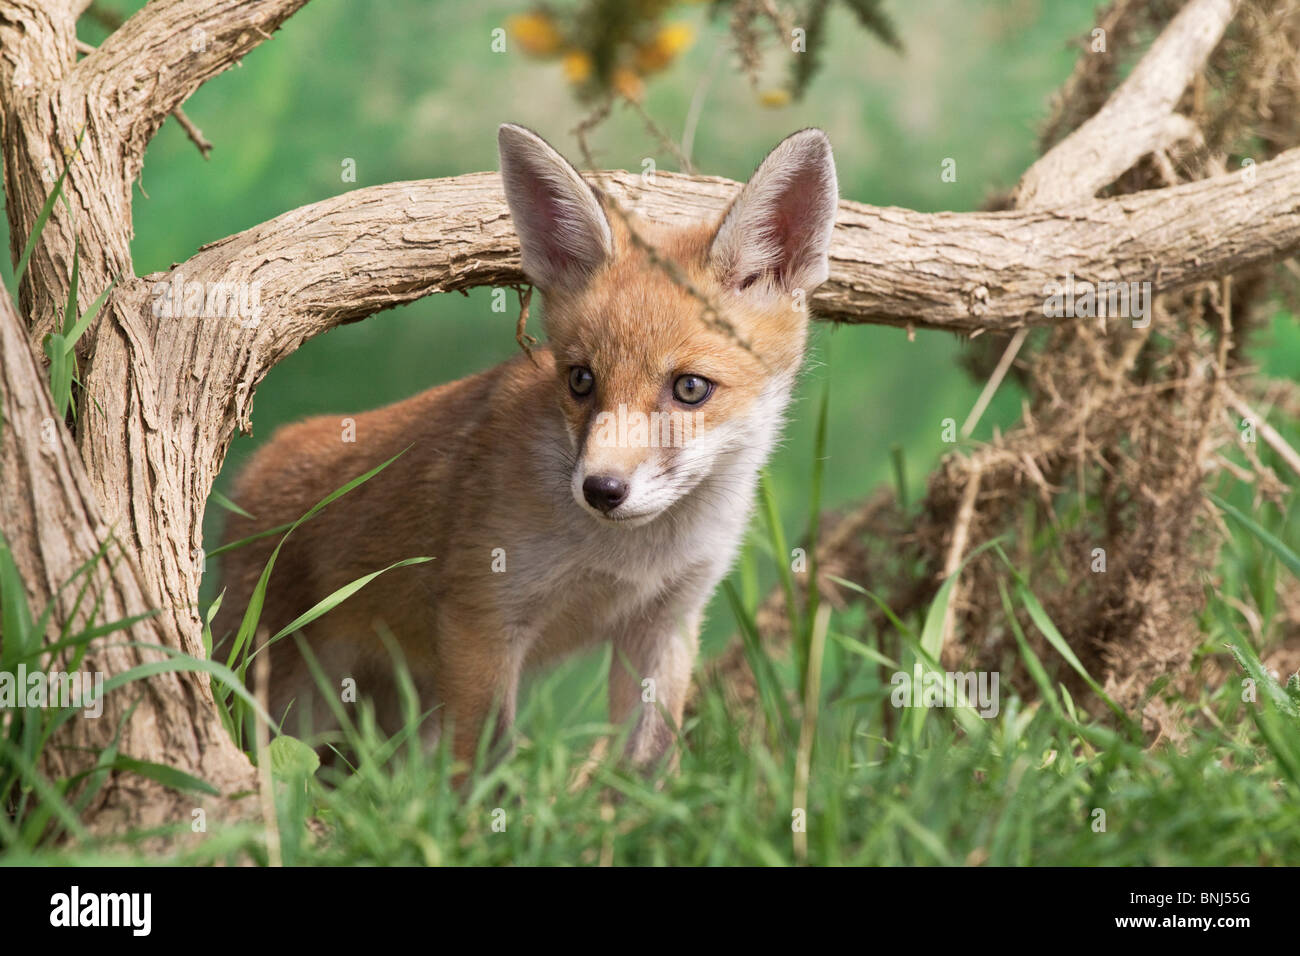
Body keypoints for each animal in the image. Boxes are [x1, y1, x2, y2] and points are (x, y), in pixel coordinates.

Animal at [212, 124, 838, 772]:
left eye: (690, 388)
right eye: (580, 380)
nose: (601, 490)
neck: (628, 558)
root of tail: (263, 461)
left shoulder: (666, 621)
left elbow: (643, 766)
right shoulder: (482, 617)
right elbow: (482, 765)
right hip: (284, 694)